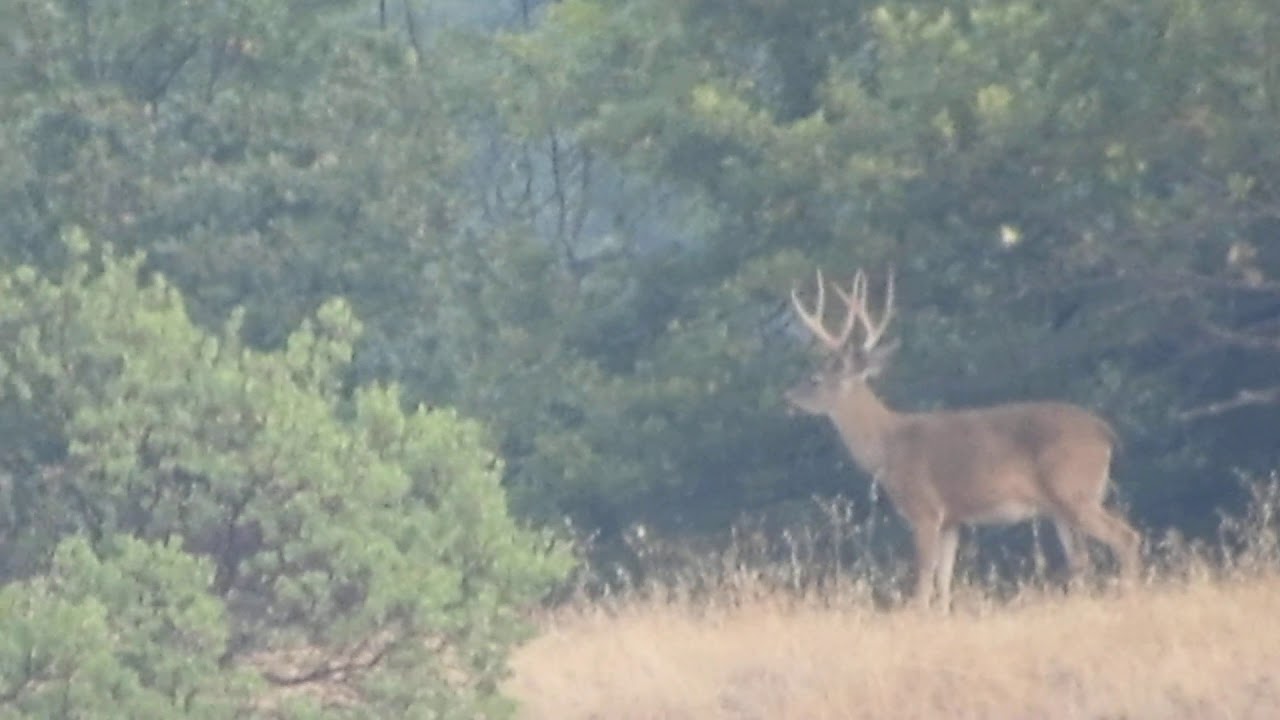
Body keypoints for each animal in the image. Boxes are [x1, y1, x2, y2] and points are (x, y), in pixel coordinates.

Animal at [785, 267, 1141, 610]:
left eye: (814, 379)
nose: (789, 396)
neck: (887, 446)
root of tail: (1105, 432)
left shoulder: (925, 509)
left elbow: (923, 583)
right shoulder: (952, 520)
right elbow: (944, 582)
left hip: (1075, 491)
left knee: (1126, 537)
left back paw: (1129, 597)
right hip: (1061, 506)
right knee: (1082, 558)